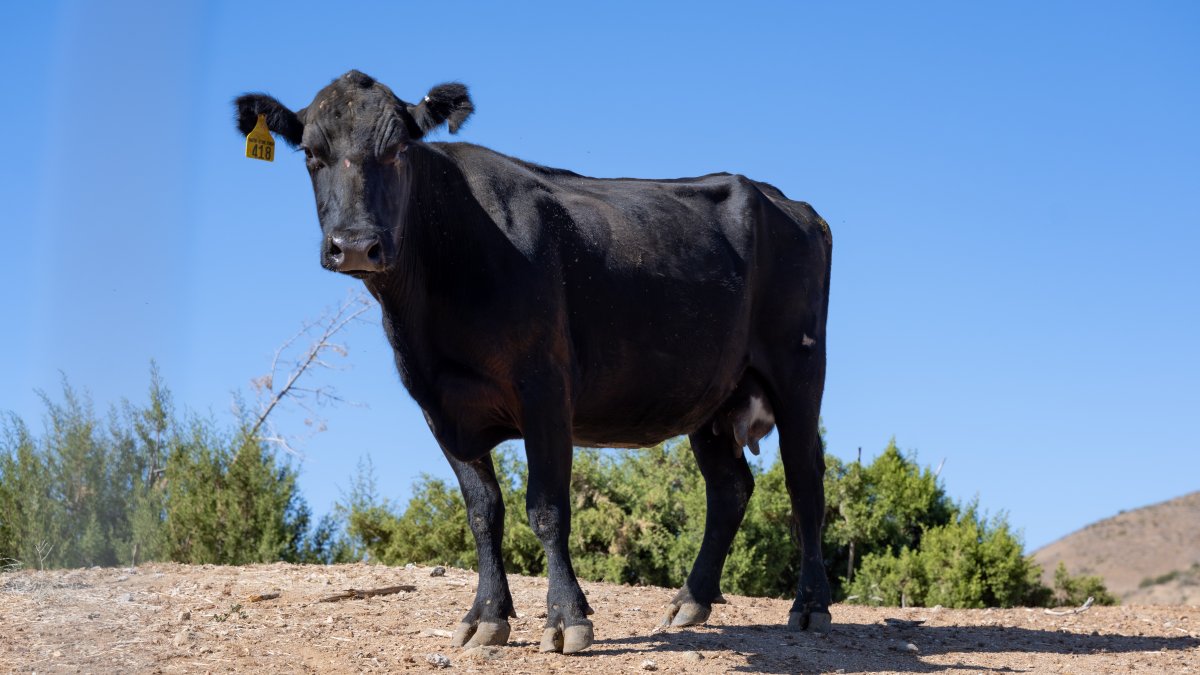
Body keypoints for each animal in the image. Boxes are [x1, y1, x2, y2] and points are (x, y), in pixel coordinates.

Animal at [235, 70, 833, 655]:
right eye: (312, 154)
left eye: (399, 149)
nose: (356, 245)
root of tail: (790, 205)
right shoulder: (437, 404)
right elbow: (483, 511)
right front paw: (486, 616)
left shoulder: (545, 388)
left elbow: (546, 509)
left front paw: (568, 617)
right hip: (713, 395)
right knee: (729, 488)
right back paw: (690, 600)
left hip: (798, 370)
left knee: (805, 482)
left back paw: (810, 606)